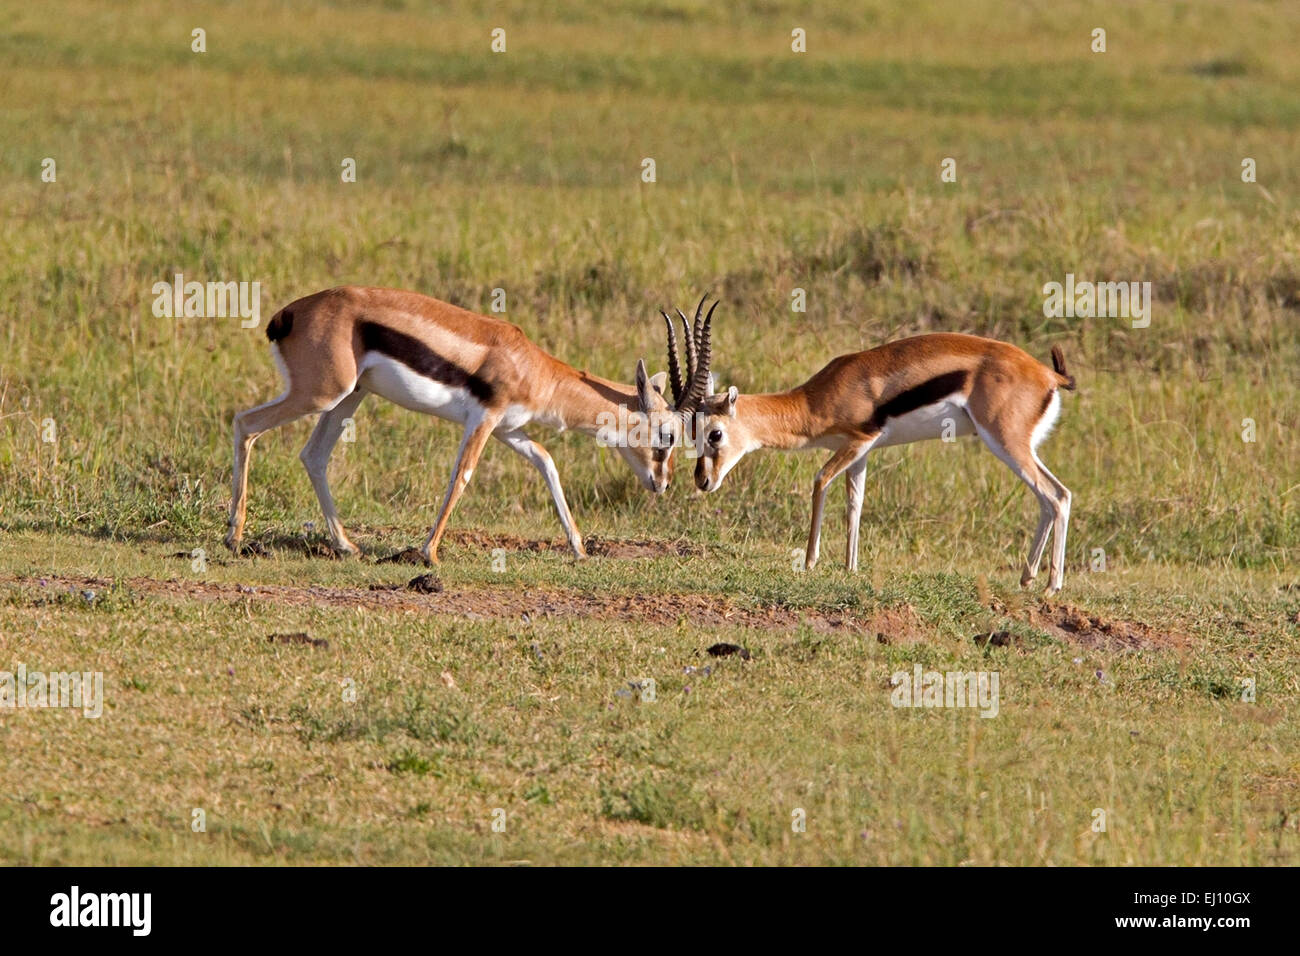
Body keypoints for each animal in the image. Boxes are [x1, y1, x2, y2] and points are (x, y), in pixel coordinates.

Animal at [226, 286, 715, 562]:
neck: (534, 367)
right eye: (667, 435)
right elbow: (462, 474)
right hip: (323, 394)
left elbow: (547, 461)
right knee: (246, 423)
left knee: (313, 455)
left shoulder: (508, 429)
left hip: (350, 396)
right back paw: (234, 537)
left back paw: (347, 546)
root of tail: (288, 314)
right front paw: (428, 554)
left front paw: (579, 548)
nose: (663, 483)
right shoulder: (484, 419)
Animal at [689, 321, 1078, 591]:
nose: (703, 481)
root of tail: (1049, 375)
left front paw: (810, 562)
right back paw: (1027, 578)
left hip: (1005, 442)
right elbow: (855, 503)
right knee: (1048, 499)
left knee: (1058, 495)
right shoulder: (859, 452)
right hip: (1019, 448)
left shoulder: (859, 440)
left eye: (715, 433)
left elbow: (820, 481)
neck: (816, 399)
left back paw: (1051, 587)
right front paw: (850, 567)